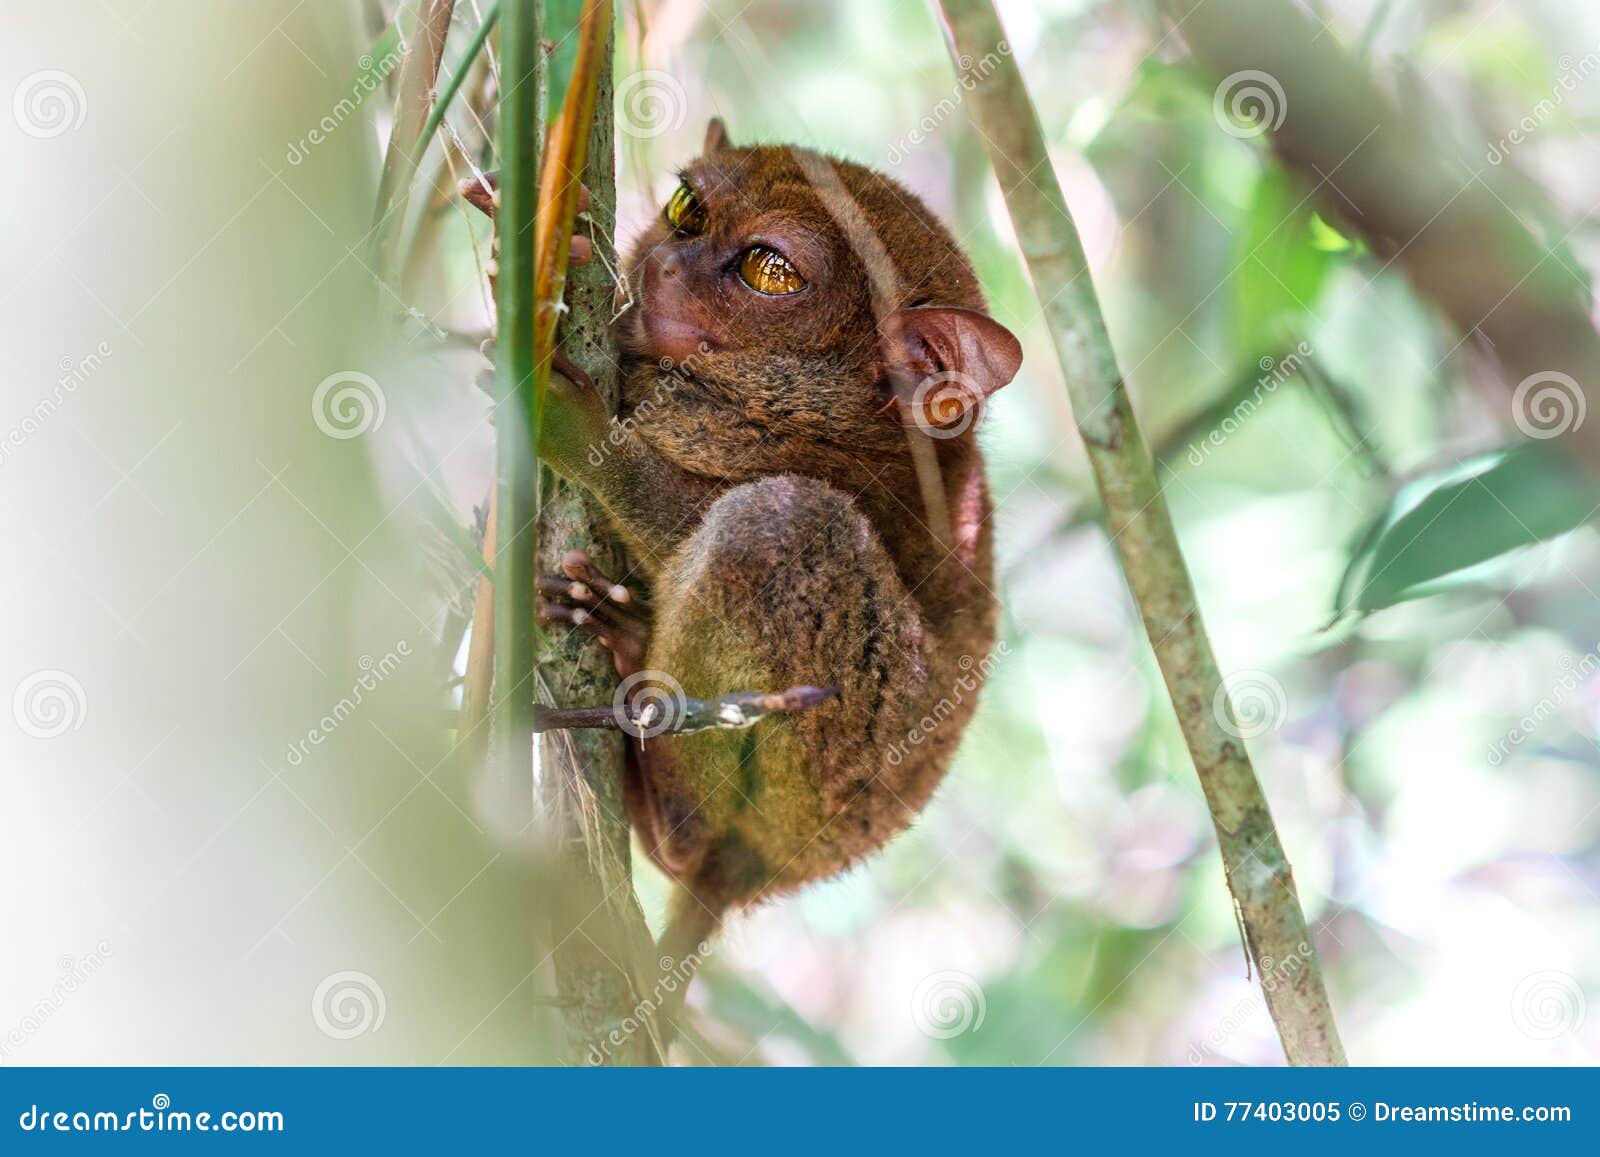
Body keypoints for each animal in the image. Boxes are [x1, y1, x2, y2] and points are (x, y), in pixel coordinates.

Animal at [463, 117, 1021, 1019]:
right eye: (687, 209)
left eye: (769, 272)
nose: (662, 261)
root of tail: (762, 874)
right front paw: (544, 235)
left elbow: (684, 509)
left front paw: (568, 417)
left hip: (825, 765)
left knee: (777, 523)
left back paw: (665, 795)